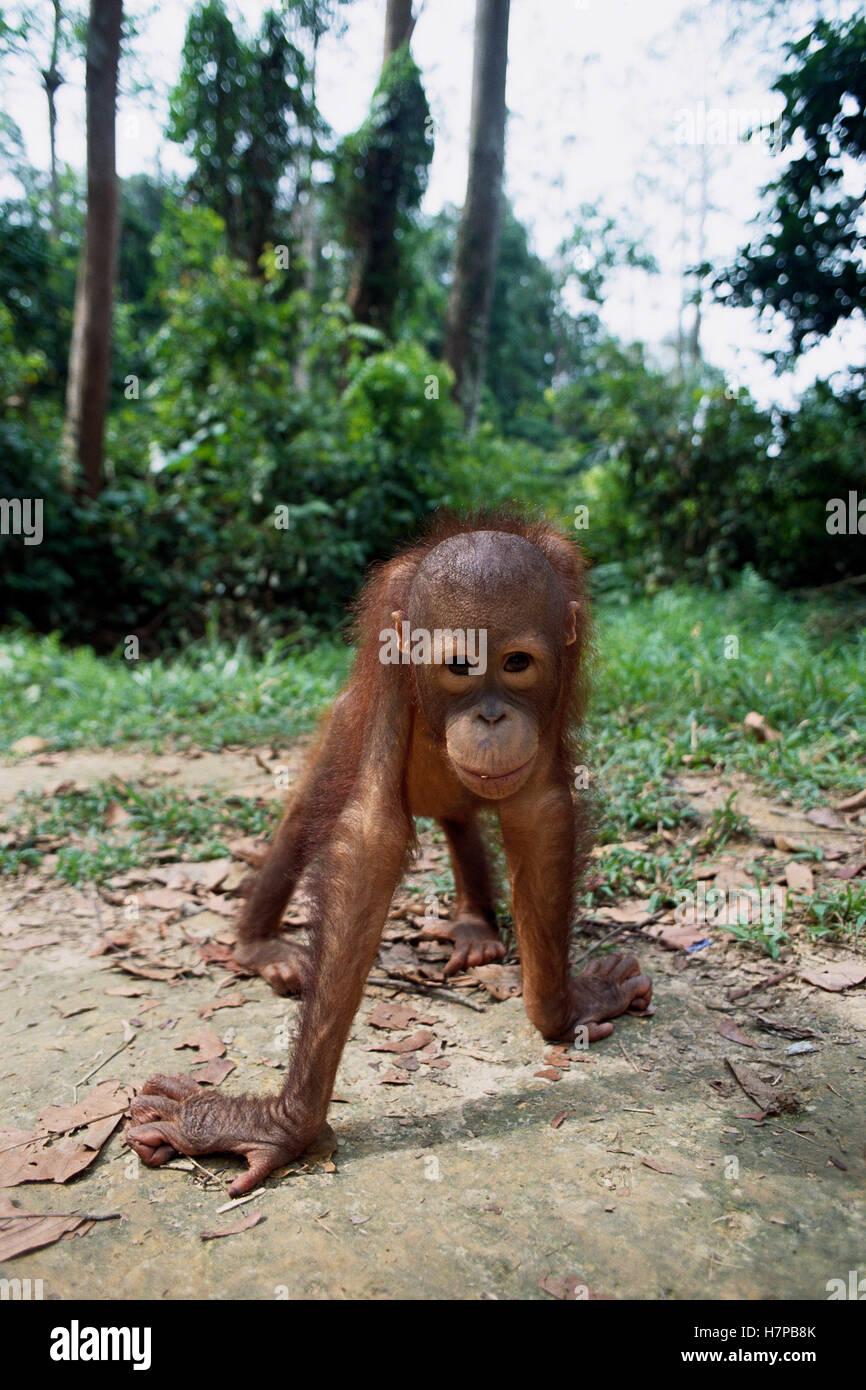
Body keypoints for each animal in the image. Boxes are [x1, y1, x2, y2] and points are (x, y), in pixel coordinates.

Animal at [127, 512, 652, 1195]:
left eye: (517, 663)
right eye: (459, 665)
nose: (490, 718)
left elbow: (538, 814)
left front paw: (564, 1012)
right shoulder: (388, 660)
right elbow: (368, 834)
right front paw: (280, 1125)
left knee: (460, 820)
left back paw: (475, 931)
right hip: (339, 730)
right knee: (305, 819)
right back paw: (260, 946)